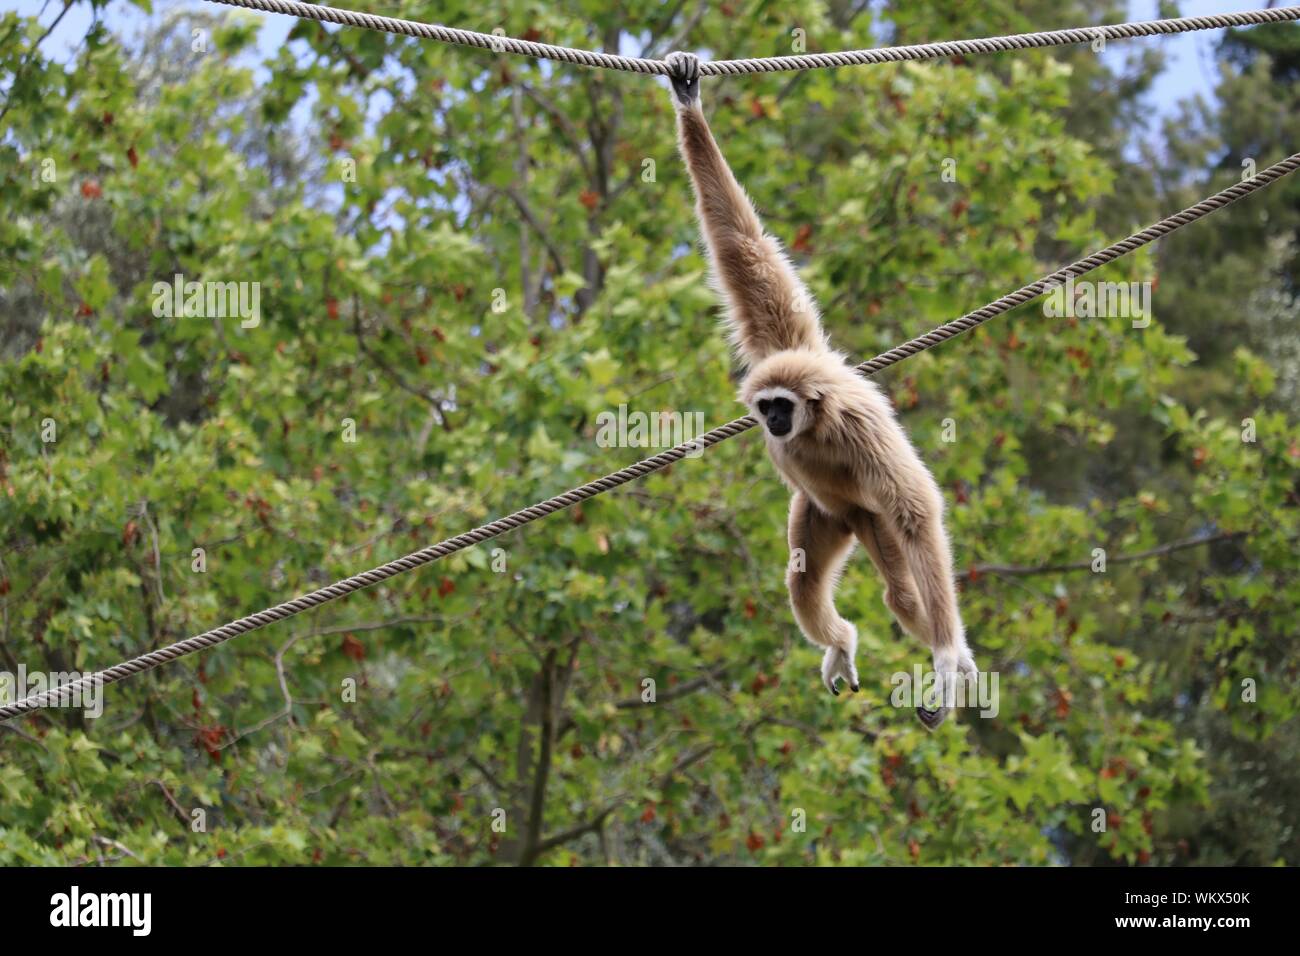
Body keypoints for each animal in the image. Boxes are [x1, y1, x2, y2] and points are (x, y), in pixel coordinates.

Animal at [665, 51, 978, 729]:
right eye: (766, 408)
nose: (775, 424)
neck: (818, 418)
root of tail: (855, 520)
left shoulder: (859, 422)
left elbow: (918, 512)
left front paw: (946, 657)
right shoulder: (787, 347)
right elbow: (741, 246)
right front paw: (687, 98)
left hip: (866, 516)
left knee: (901, 587)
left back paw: (952, 659)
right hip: (830, 515)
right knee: (806, 579)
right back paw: (841, 641)